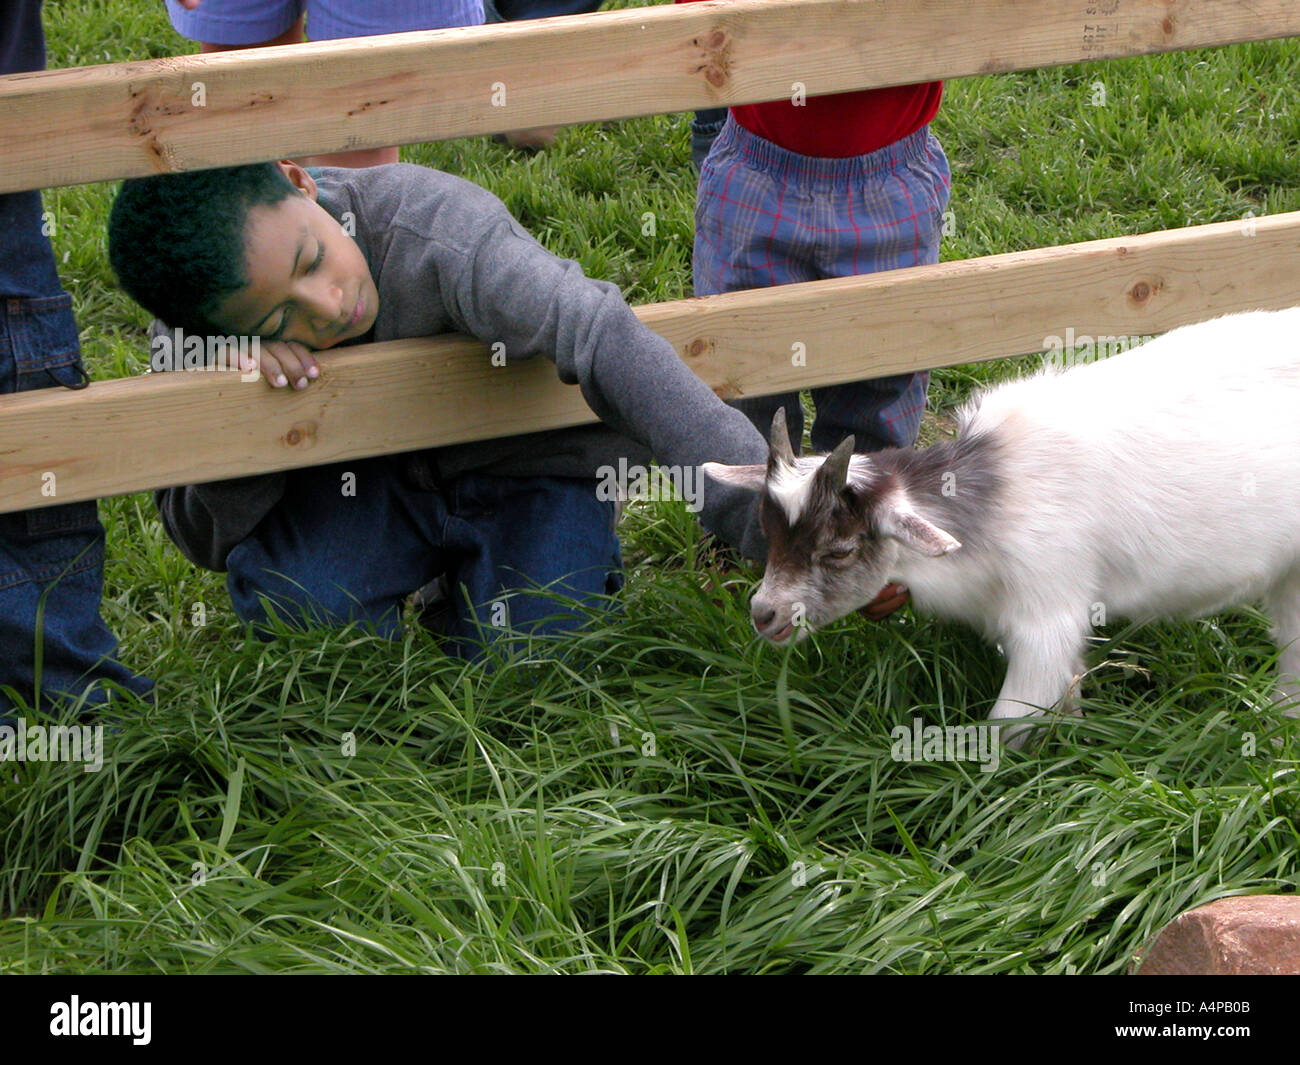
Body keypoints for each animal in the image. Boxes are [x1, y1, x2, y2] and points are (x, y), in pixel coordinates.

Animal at [703, 308, 1300, 746]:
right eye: (769, 533)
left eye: (840, 551)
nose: (764, 614)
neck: (994, 500)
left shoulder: (1047, 613)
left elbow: (1009, 726)